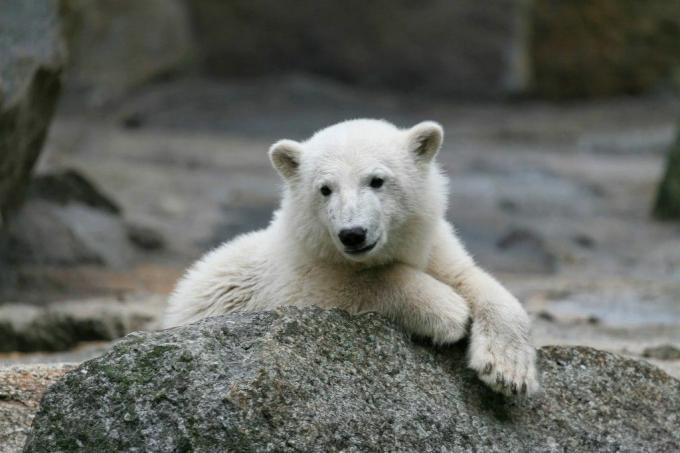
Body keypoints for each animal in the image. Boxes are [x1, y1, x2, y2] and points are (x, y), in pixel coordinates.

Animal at [165, 118, 536, 394]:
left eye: (377, 180)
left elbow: (471, 278)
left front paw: (508, 371)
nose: (353, 233)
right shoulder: (294, 279)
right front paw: (447, 312)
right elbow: (350, 284)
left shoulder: (433, 246)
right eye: (325, 189)